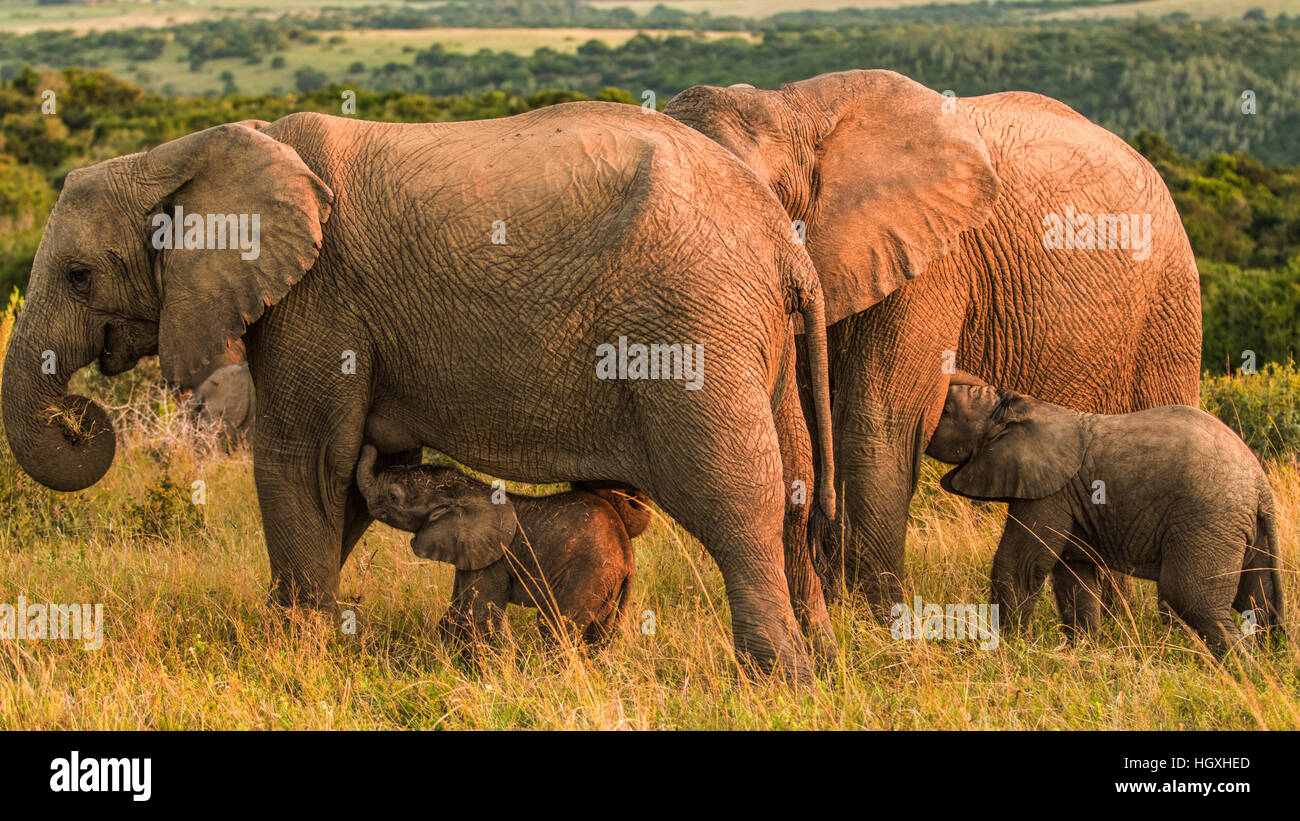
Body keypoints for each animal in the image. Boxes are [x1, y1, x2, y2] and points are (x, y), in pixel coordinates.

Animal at [355, 445, 644, 649]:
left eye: (393, 497)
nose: (368, 442)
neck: (466, 489)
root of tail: (627, 557)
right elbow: (457, 608)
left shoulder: (494, 558)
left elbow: (479, 614)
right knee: (597, 634)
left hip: (587, 575)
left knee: (554, 627)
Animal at [926, 384, 1285, 657]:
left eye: (946, 411)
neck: (1015, 407)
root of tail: (1260, 484)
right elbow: (1074, 577)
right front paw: (1082, 653)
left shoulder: (1050, 493)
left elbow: (1019, 567)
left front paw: (1008, 650)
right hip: (1243, 528)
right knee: (1258, 600)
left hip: (1208, 519)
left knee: (1191, 599)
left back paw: (1246, 674)